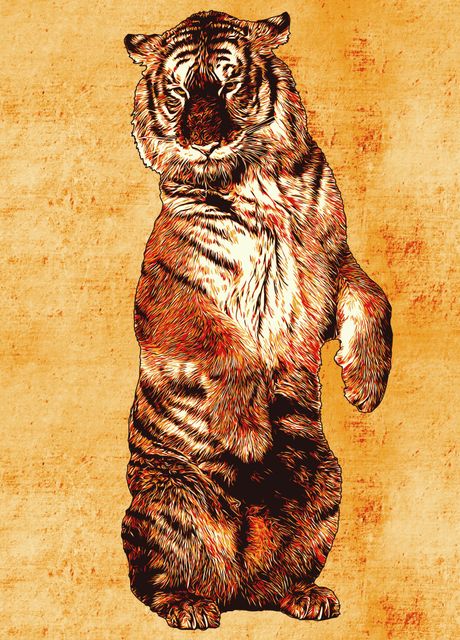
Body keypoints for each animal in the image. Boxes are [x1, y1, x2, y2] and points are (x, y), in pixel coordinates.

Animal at [121, 10, 392, 630]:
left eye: (228, 84)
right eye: (179, 90)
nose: (202, 140)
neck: (255, 180)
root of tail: (237, 587)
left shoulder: (332, 261)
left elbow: (374, 301)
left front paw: (365, 387)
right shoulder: (171, 294)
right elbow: (228, 348)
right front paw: (247, 434)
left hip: (324, 488)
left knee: (274, 580)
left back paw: (307, 596)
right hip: (173, 499)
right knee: (159, 581)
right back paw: (190, 607)